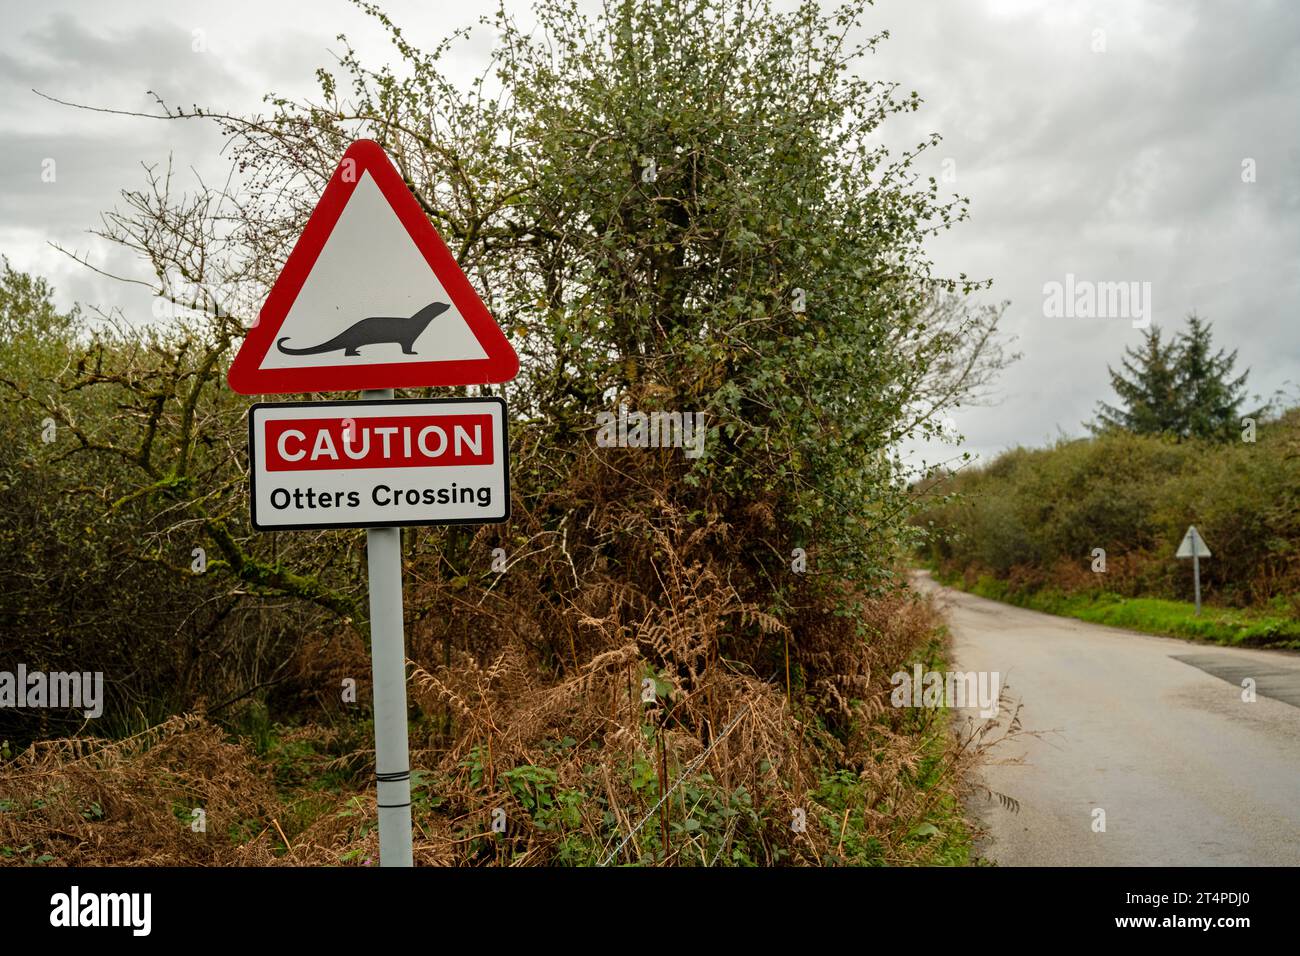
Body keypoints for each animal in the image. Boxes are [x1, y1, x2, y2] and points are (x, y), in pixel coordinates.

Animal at [276, 301, 450, 357]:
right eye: (441, 305)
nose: (449, 304)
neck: (417, 322)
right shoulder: (408, 337)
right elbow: (406, 347)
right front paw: (412, 353)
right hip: (355, 338)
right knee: (347, 350)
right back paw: (355, 354)